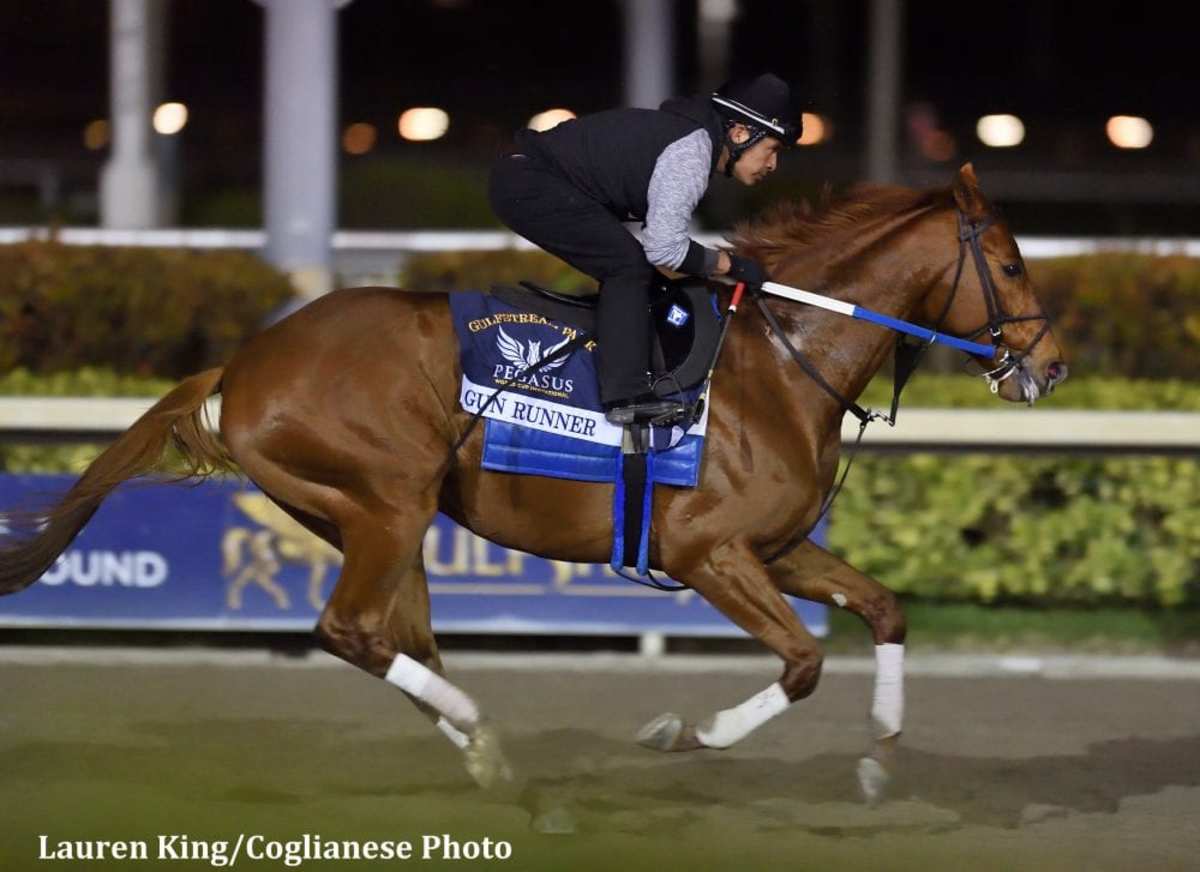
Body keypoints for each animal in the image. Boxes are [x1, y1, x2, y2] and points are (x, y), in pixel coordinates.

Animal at [0, 163, 1066, 801]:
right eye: (1012, 263)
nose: (1050, 368)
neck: (777, 358)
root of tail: (243, 367)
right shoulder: (706, 551)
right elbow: (801, 662)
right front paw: (682, 732)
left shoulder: (777, 546)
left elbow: (884, 610)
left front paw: (880, 760)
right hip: (386, 501)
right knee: (350, 631)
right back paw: (486, 737)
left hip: (379, 518)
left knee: (400, 639)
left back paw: (487, 759)